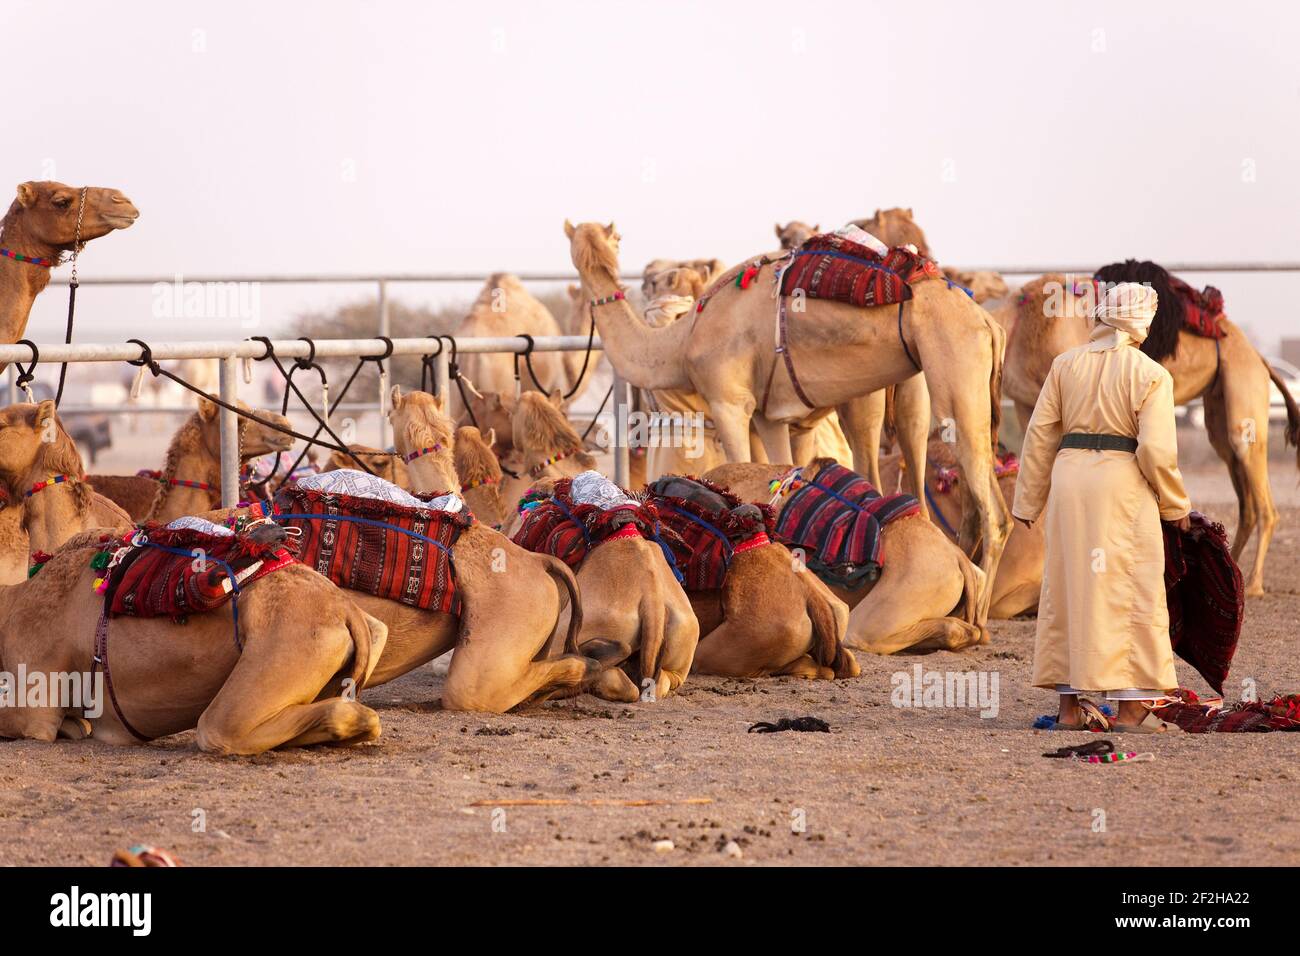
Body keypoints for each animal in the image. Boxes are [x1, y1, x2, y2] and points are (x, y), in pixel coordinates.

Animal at [564, 219, 1010, 621]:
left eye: (658, 277)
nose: (646, 282)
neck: (681, 339)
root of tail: (988, 321)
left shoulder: (730, 401)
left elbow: (736, 466)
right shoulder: (770, 415)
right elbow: (778, 470)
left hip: (956, 365)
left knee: (993, 510)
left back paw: (981, 613)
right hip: (915, 379)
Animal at [1002, 270, 1300, 596]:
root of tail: (1259, 356)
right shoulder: (1029, 402)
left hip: (1243, 384)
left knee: (1258, 486)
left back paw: (1255, 582)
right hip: (1220, 404)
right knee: (1240, 483)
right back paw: (1234, 571)